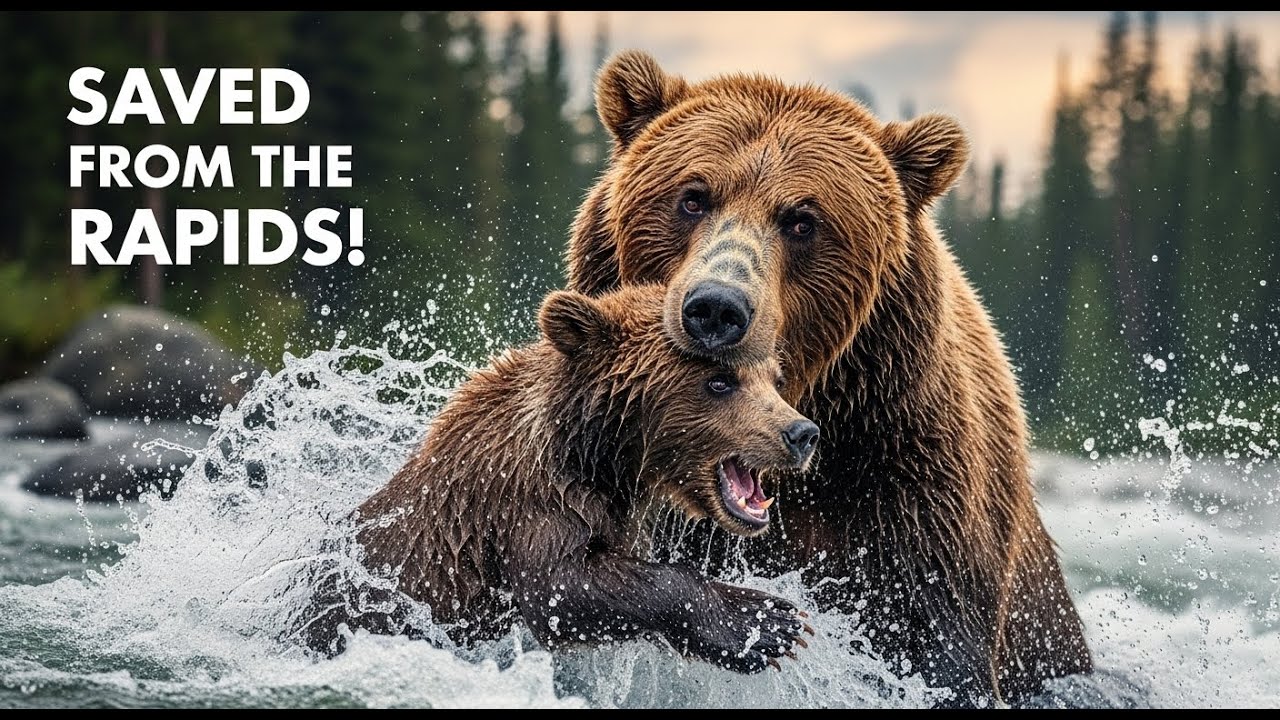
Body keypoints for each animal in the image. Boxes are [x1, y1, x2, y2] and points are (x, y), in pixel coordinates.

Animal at [304, 284, 820, 674]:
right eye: (719, 381)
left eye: (774, 378)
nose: (801, 433)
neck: (599, 454)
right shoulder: (529, 498)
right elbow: (560, 587)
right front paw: (766, 622)